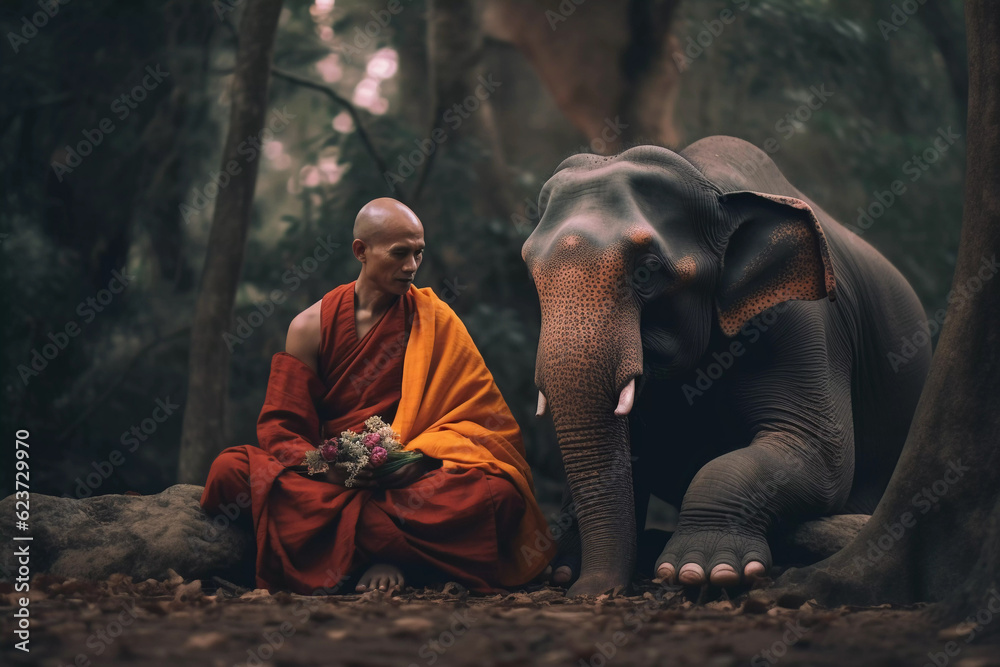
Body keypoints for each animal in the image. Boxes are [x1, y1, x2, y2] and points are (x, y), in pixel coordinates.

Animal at [522, 135, 932, 596]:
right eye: (530, 272)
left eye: (647, 272)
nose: (593, 592)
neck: (712, 186)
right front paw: (561, 571)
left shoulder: (799, 321)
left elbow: (820, 452)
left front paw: (700, 571)